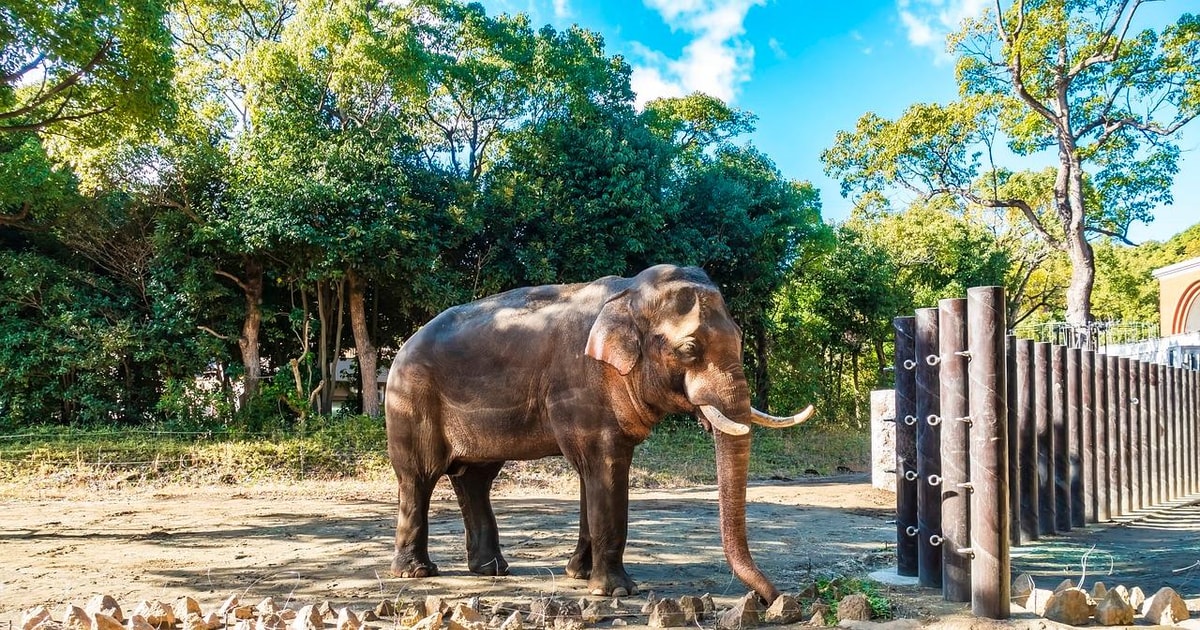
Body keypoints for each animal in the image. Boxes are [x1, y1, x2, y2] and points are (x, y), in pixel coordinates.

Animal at [384, 264, 813, 603]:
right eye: (689, 349)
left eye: (740, 338)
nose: (771, 600)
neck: (629, 292)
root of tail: (401, 349)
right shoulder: (580, 384)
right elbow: (605, 465)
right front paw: (617, 590)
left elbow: (591, 474)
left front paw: (579, 574)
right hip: (409, 400)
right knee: (419, 476)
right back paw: (417, 572)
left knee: (474, 477)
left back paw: (492, 570)